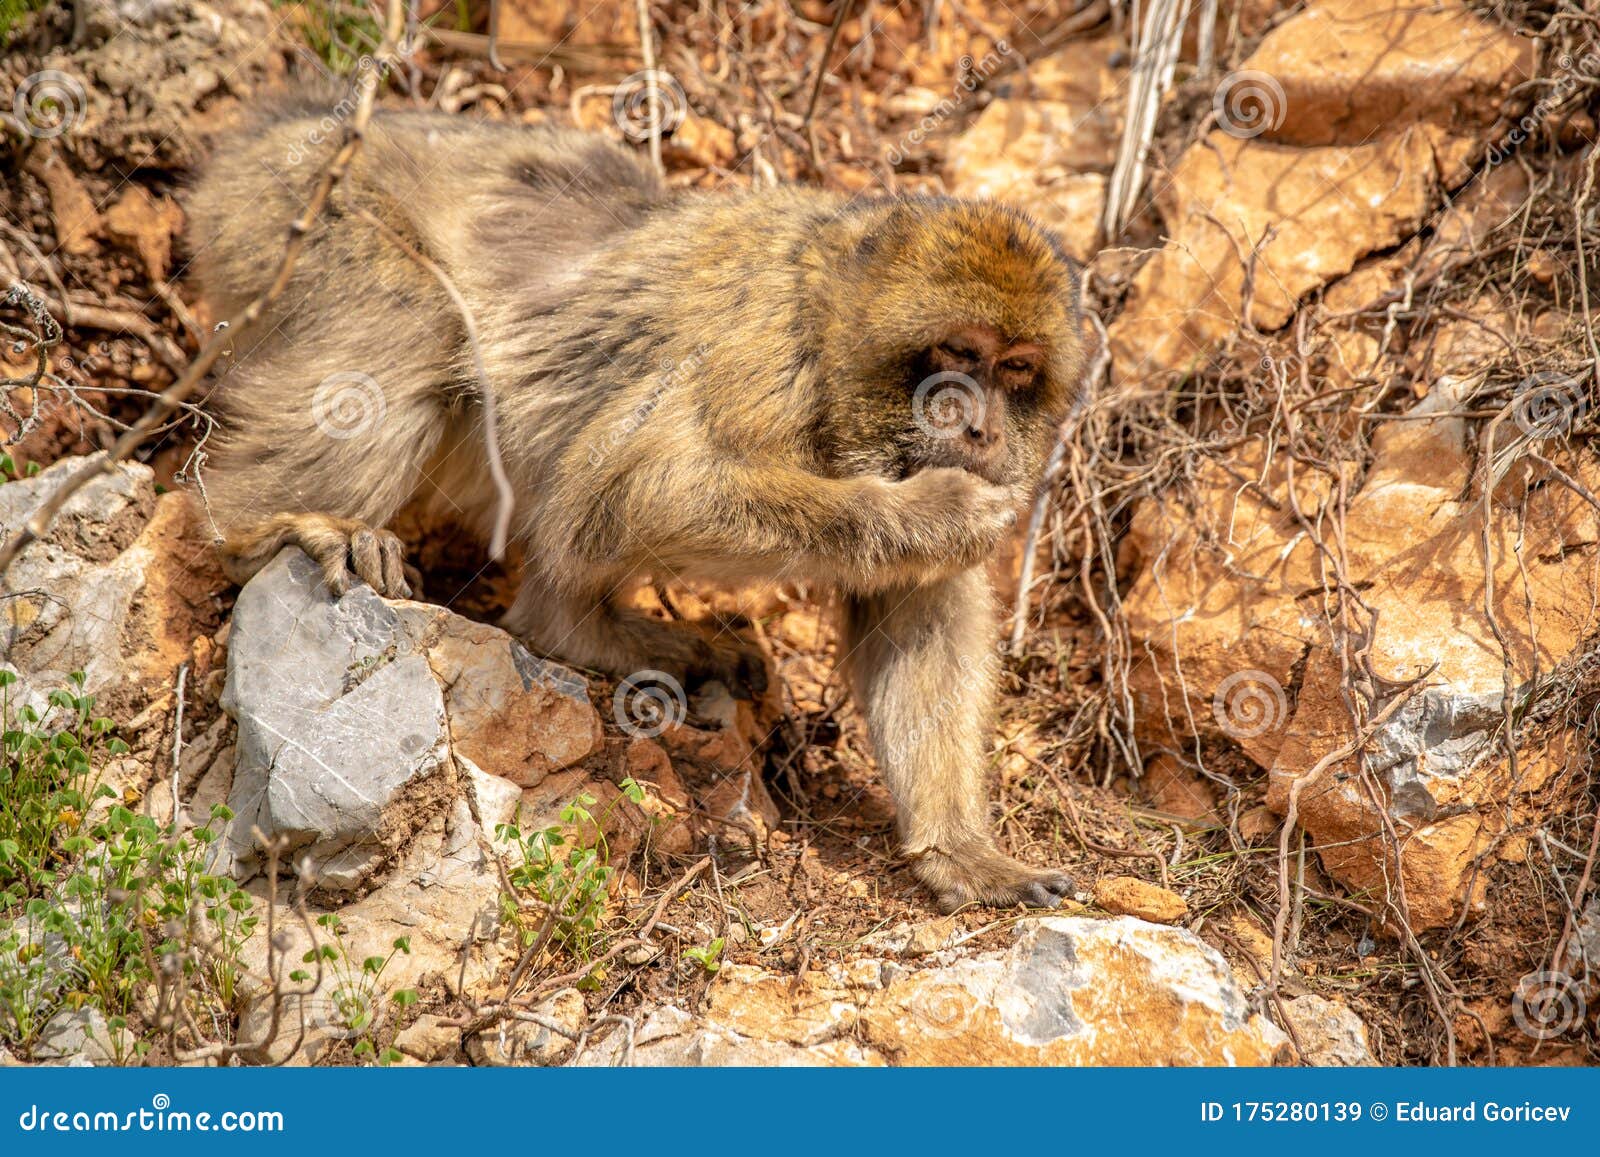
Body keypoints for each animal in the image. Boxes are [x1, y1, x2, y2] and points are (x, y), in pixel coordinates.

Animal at [184, 110, 1086, 912]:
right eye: (958, 355)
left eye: (1015, 370)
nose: (979, 428)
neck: (831, 321)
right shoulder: (762, 353)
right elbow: (627, 489)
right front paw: (937, 510)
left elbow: (917, 615)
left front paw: (959, 850)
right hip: (301, 214)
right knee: (417, 322)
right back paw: (262, 528)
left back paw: (578, 629)